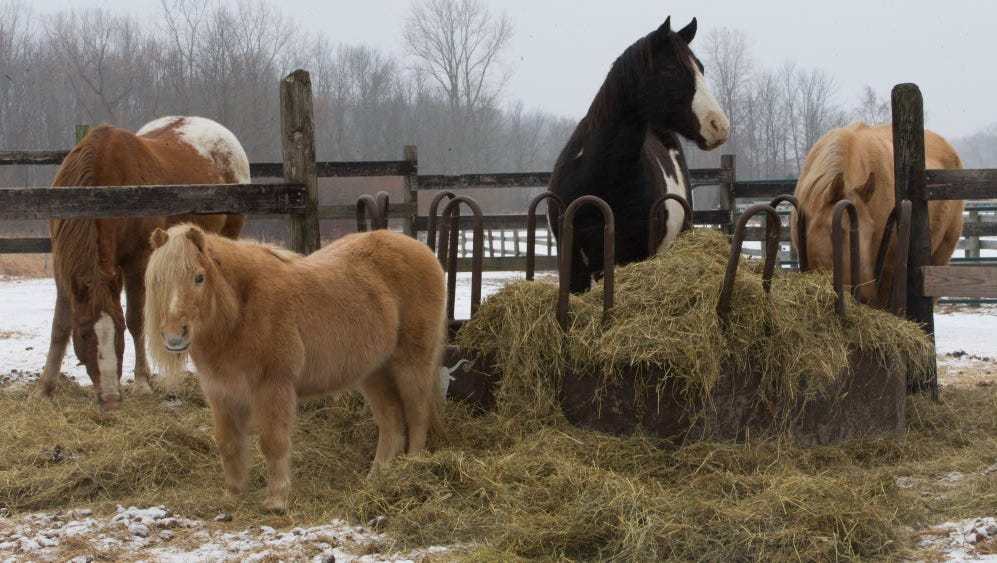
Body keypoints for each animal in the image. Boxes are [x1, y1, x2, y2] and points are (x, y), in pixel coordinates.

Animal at [30, 116, 249, 410]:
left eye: (118, 333)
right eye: (85, 334)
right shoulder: (64, 266)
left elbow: (136, 319)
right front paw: (44, 386)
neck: (96, 191)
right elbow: (60, 325)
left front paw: (142, 383)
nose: (111, 399)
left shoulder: (137, 260)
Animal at [143, 224, 447, 513]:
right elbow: (228, 444)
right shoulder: (222, 393)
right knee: (391, 421)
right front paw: (232, 496)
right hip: (374, 372)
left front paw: (276, 501)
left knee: (417, 415)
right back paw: (377, 478)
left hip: (412, 364)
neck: (242, 310)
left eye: (199, 277)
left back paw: (412, 470)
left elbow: (273, 442)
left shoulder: (272, 387)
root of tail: (422, 250)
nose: (175, 337)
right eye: (157, 280)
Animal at [548, 16, 729, 293]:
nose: (718, 126)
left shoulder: (632, 258)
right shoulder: (573, 265)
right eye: (670, 71)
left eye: (700, 68)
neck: (600, 176)